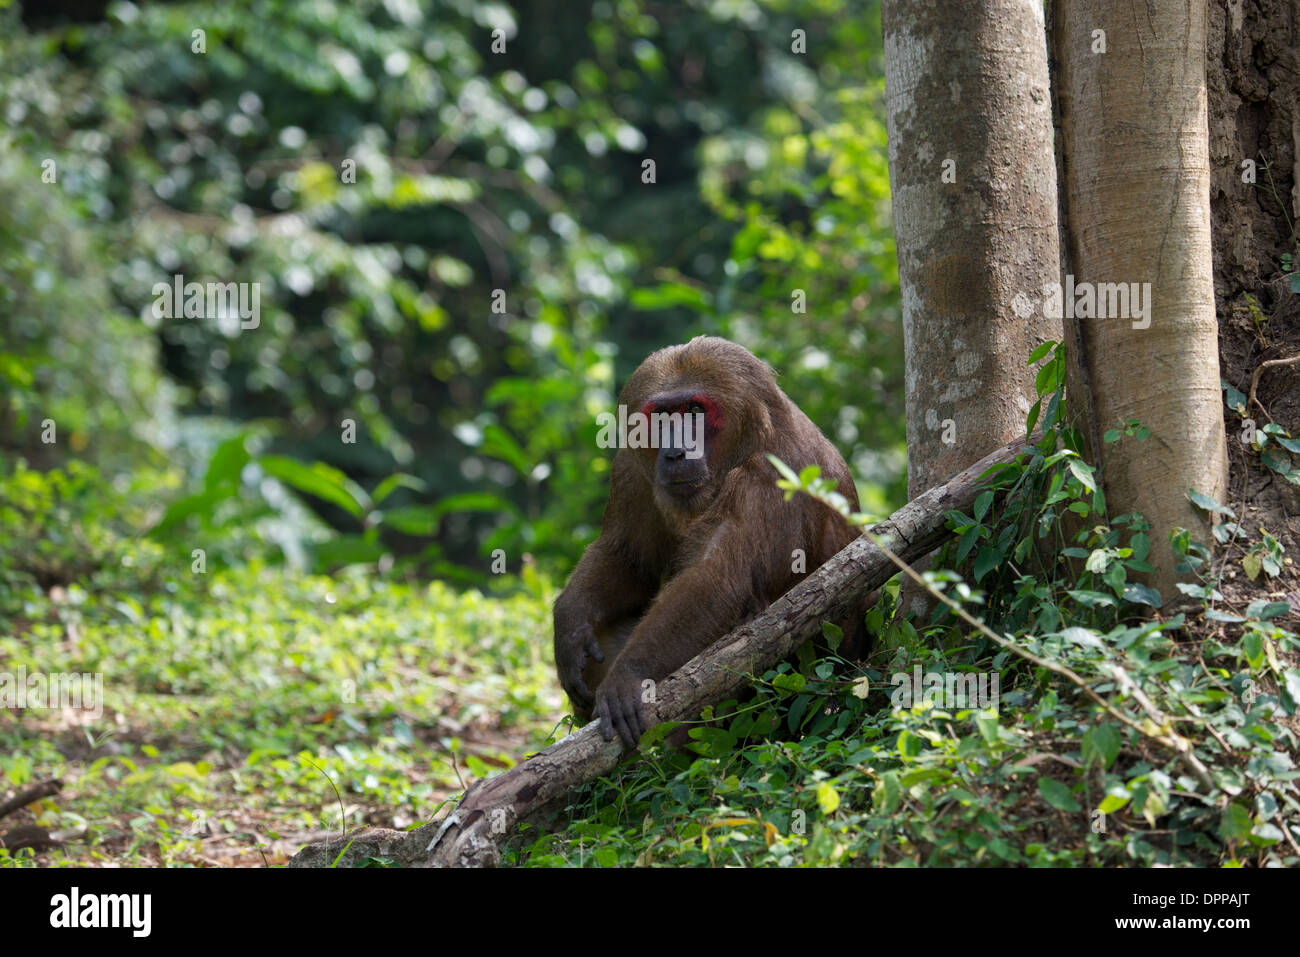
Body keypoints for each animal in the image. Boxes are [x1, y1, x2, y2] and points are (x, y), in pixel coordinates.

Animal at [553, 336, 870, 748]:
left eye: (693, 410)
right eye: (663, 416)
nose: (675, 452)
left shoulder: (769, 477)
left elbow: (716, 581)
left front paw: (631, 674)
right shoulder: (631, 468)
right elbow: (628, 560)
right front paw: (569, 621)